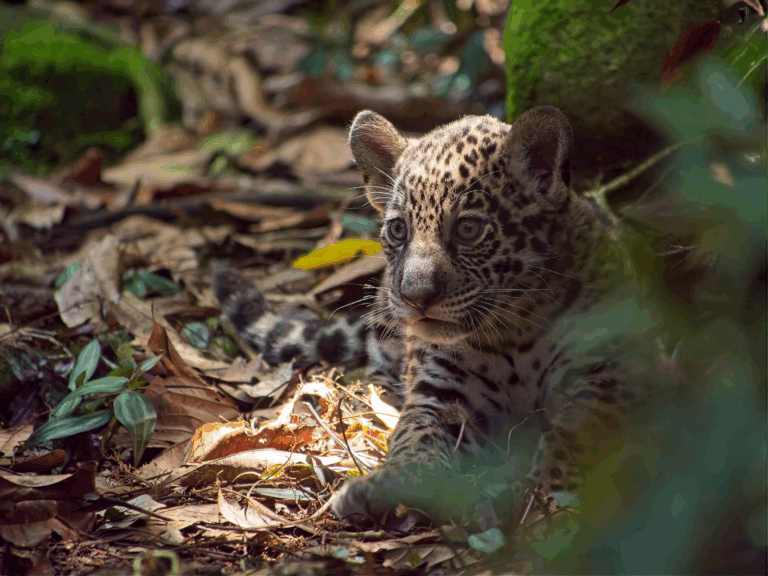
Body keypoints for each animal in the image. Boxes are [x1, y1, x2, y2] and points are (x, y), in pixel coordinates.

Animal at [215, 105, 636, 529]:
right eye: (399, 229)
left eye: (468, 228)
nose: (415, 296)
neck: (512, 333)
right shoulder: (440, 396)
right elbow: (414, 440)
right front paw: (383, 485)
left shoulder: (602, 376)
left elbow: (576, 438)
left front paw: (548, 498)